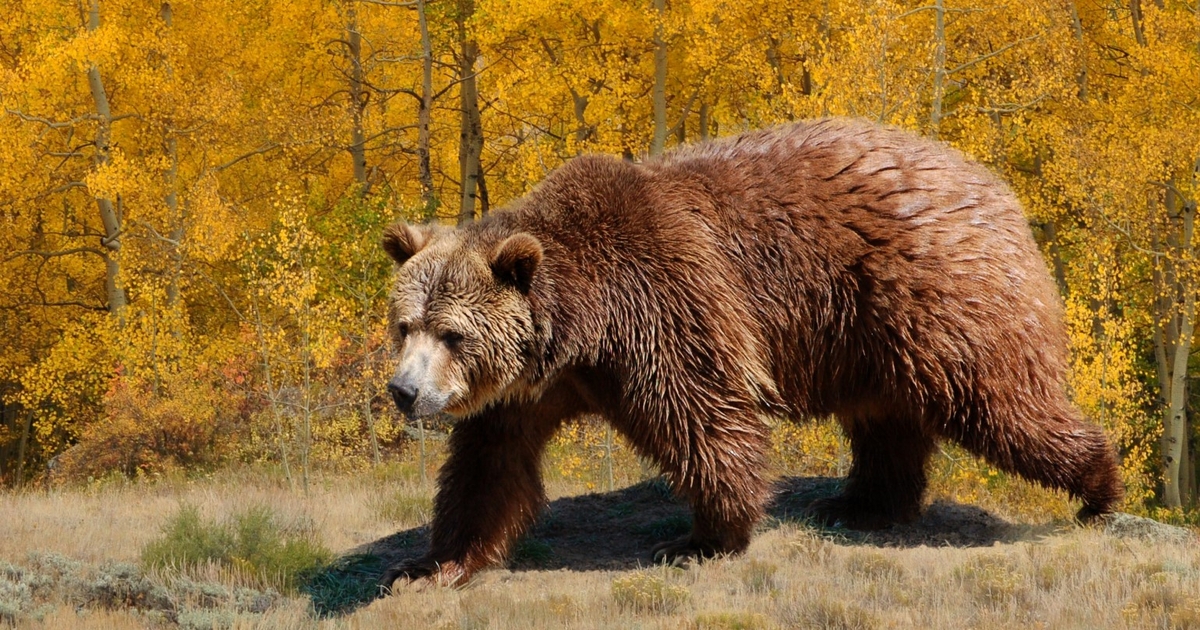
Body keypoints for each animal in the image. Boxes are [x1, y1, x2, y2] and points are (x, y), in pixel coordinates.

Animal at [377, 117, 1123, 590]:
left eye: (454, 335)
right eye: (404, 326)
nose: (404, 391)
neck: (579, 330)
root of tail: (996, 186)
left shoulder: (662, 306)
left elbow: (703, 417)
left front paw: (701, 538)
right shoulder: (526, 391)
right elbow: (489, 469)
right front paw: (428, 565)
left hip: (933, 291)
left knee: (1001, 401)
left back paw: (1099, 486)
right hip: (868, 333)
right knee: (887, 419)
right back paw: (862, 503)